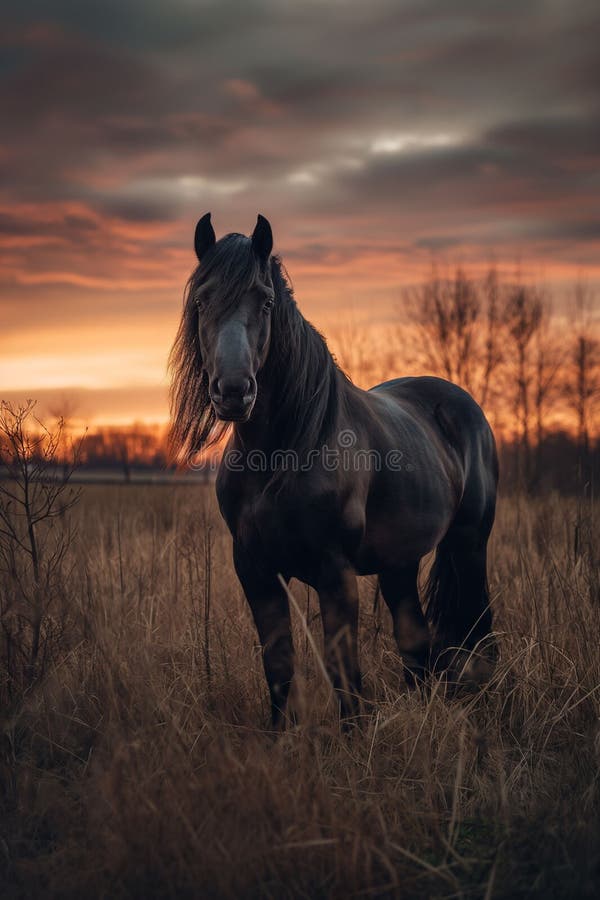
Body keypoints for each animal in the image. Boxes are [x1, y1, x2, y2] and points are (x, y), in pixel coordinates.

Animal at [169, 213, 498, 726]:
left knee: (479, 631)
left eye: (265, 302)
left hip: (469, 546)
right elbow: (279, 668)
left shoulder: (335, 573)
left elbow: (345, 674)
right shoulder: (255, 570)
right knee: (415, 643)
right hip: (400, 563)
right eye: (201, 300)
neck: (280, 454)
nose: (233, 391)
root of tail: (462, 404)